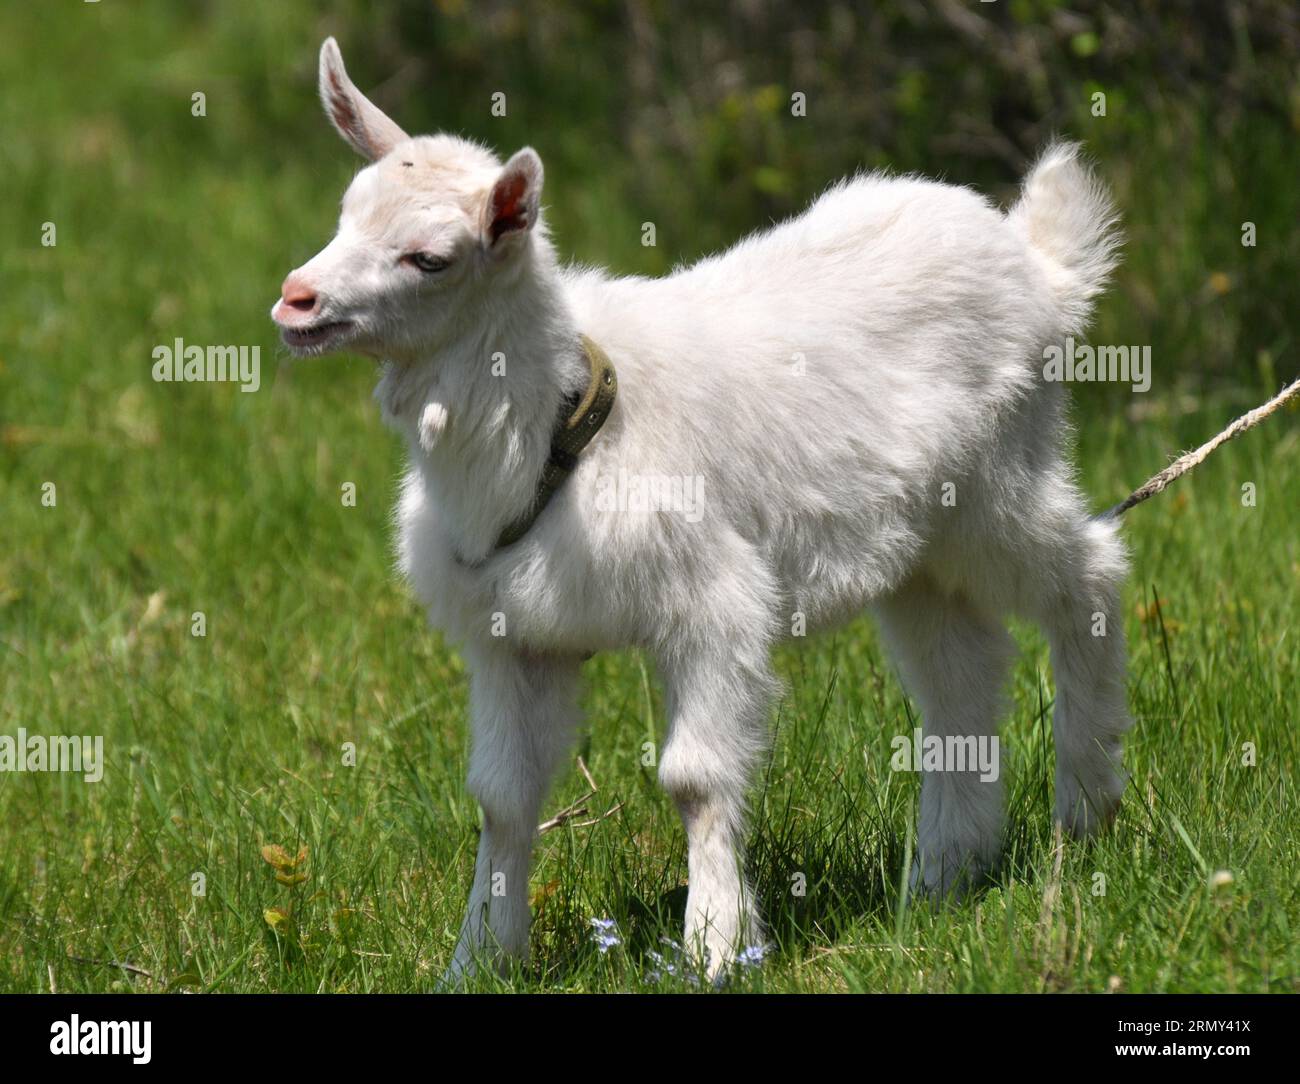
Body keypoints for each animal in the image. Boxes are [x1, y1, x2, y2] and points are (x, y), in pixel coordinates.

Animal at [271, 38, 1131, 983]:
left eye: (430, 257)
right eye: (347, 213)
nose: (295, 299)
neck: (553, 423)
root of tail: (1038, 264)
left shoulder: (711, 602)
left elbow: (693, 779)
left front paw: (716, 946)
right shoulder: (514, 633)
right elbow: (501, 799)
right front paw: (480, 960)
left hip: (1001, 481)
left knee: (1089, 577)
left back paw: (1088, 807)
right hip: (918, 545)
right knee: (962, 676)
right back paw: (945, 875)